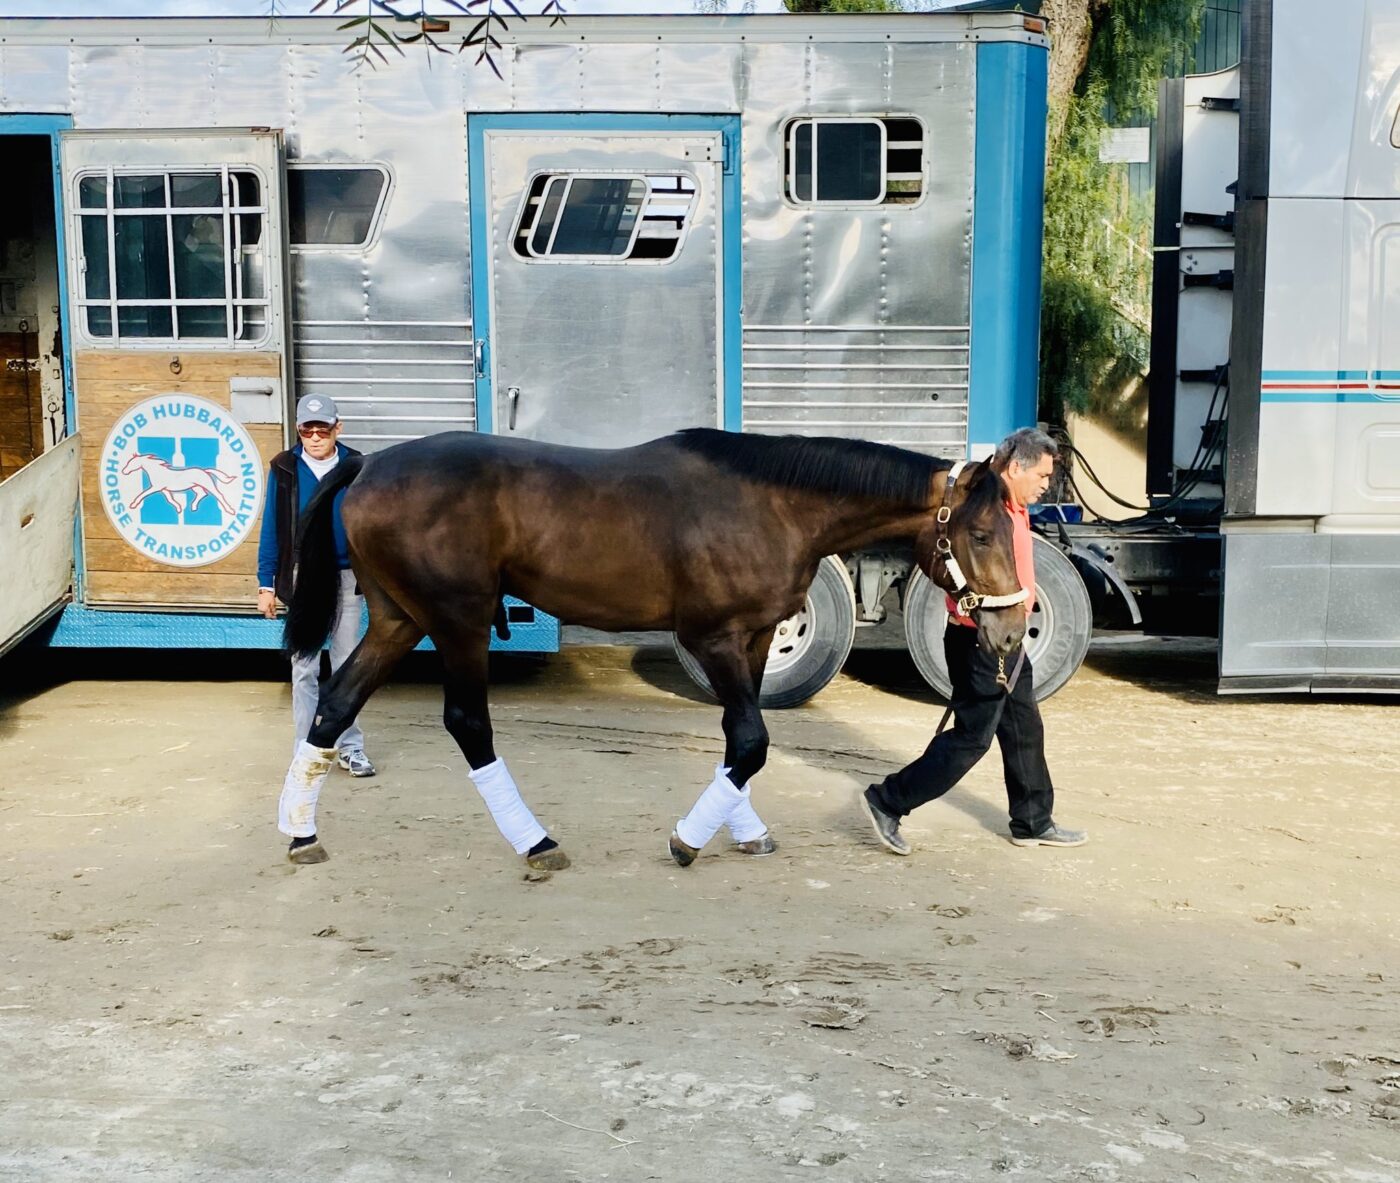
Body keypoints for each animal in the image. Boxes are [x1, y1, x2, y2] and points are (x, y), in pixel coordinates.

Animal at [274, 428, 1028, 869]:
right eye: (982, 534)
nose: (1014, 630)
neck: (772, 504)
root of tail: (368, 464)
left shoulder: (754, 637)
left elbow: (739, 736)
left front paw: (743, 829)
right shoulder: (711, 637)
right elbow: (750, 740)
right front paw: (688, 839)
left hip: (398, 620)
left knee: (335, 705)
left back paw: (302, 832)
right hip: (456, 620)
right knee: (467, 723)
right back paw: (535, 841)